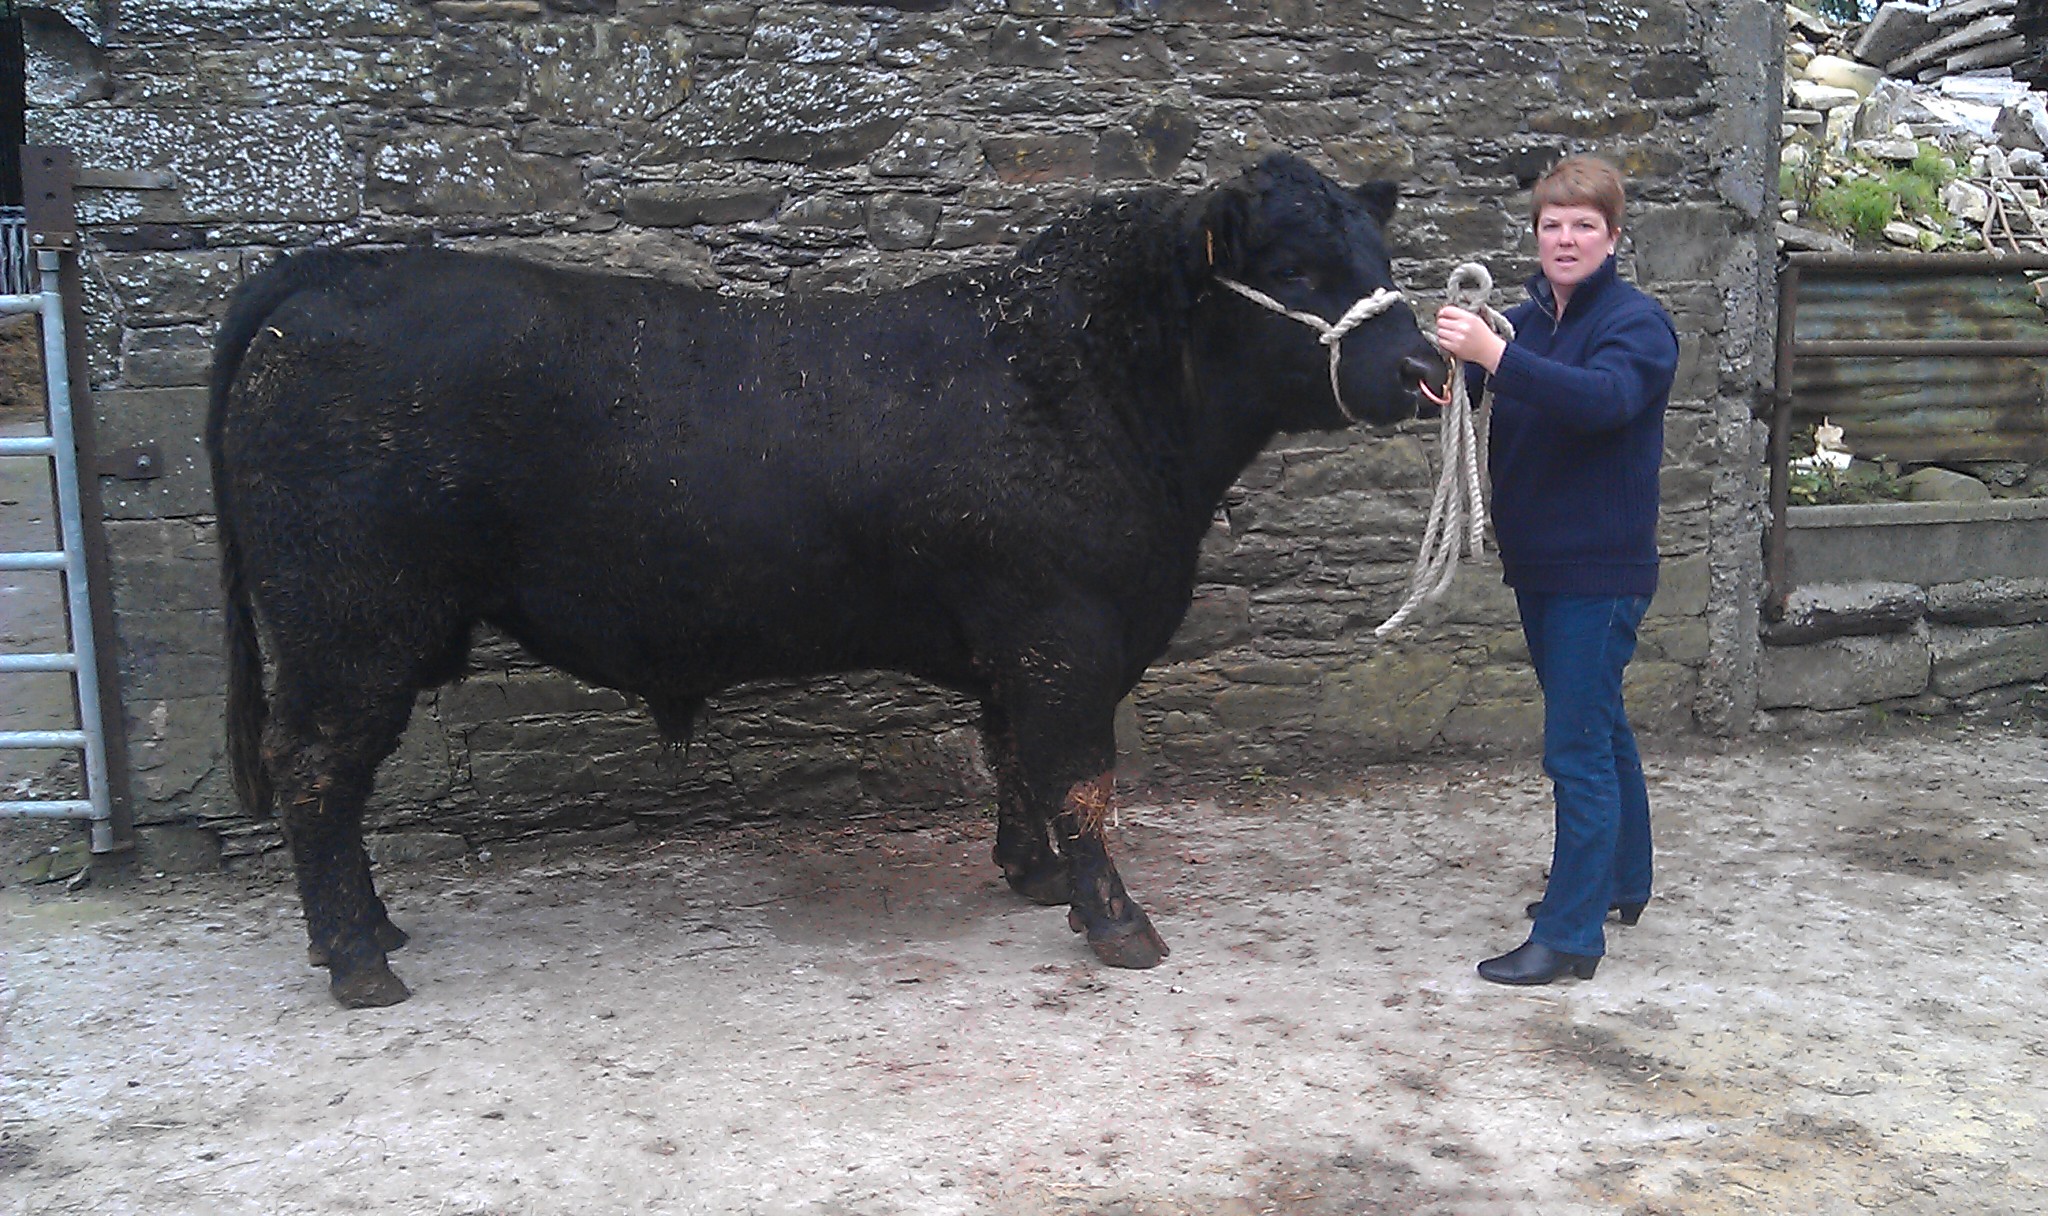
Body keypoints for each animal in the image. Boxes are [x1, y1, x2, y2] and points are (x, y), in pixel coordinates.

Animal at [208, 152, 1442, 1008]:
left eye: (1381, 262)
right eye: (1293, 269)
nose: (1427, 367)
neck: (1090, 381)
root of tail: (342, 271)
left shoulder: (1017, 645)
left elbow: (1014, 759)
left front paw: (1033, 877)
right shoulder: (1068, 637)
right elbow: (1081, 779)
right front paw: (1117, 921)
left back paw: (369, 934)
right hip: (348, 626)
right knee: (316, 772)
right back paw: (359, 958)